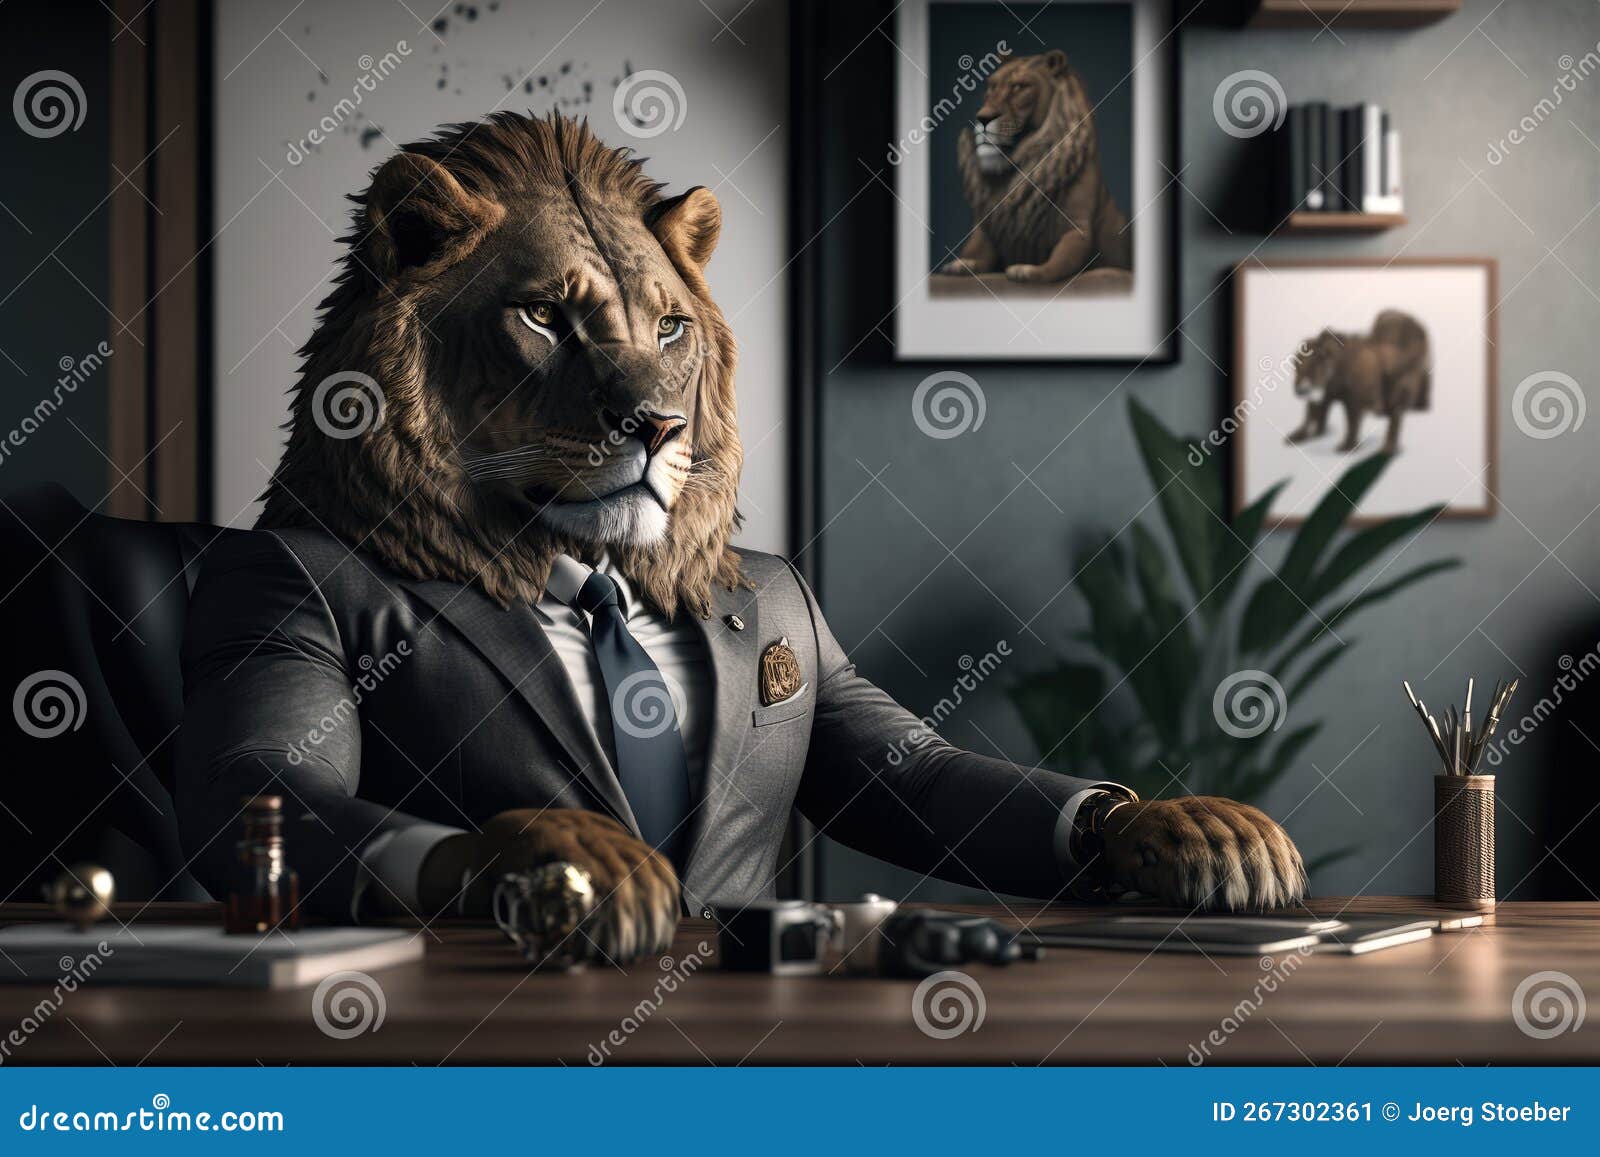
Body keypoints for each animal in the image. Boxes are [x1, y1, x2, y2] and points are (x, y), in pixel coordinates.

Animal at [939, 49, 1131, 284]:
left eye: (1019, 87)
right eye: (991, 87)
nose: (982, 118)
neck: (1015, 168)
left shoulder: (1078, 227)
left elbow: (1059, 261)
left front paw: (1027, 270)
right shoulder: (989, 224)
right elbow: (979, 250)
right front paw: (961, 264)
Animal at [1288, 310, 1431, 454]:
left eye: (1316, 363)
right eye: (1296, 364)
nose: (1301, 390)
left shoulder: (1353, 400)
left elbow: (1352, 422)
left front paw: (1347, 446)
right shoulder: (1323, 395)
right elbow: (1311, 416)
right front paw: (1297, 436)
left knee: (1396, 416)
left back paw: (1389, 446)